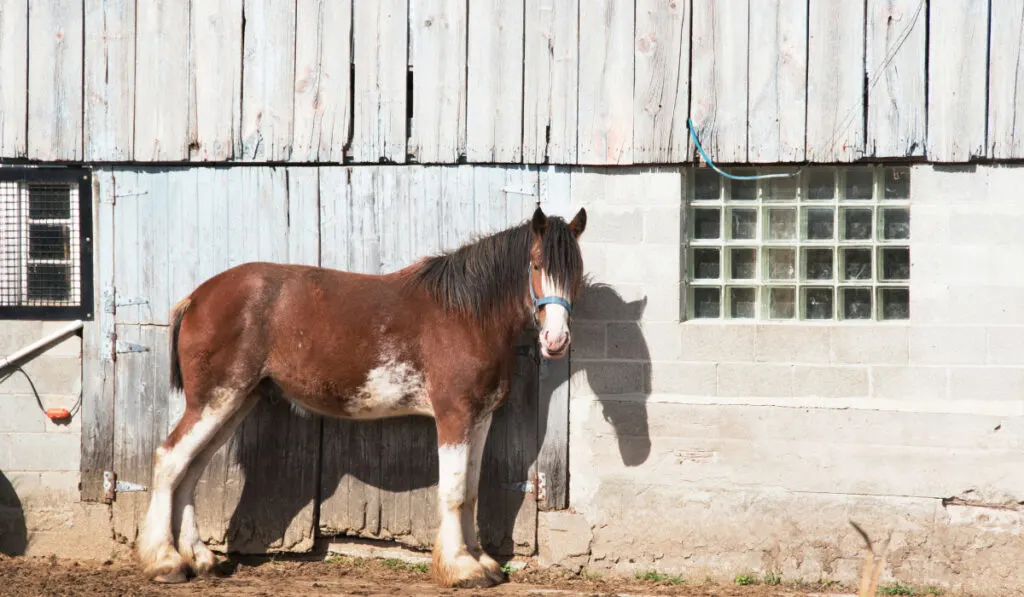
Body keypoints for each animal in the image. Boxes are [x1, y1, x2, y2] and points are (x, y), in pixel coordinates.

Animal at [135, 205, 588, 589]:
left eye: (577, 271)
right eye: (536, 265)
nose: (556, 340)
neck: (466, 315)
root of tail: (198, 297)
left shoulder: (479, 418)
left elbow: (471, 491)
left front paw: (482, 562)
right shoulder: (454, 416)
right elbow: (455, 490)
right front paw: (462, 568)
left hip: (235, 402)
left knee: (191, 471)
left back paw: (200, 558)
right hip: (214, 401)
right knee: (169, 460)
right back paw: (165, 562)